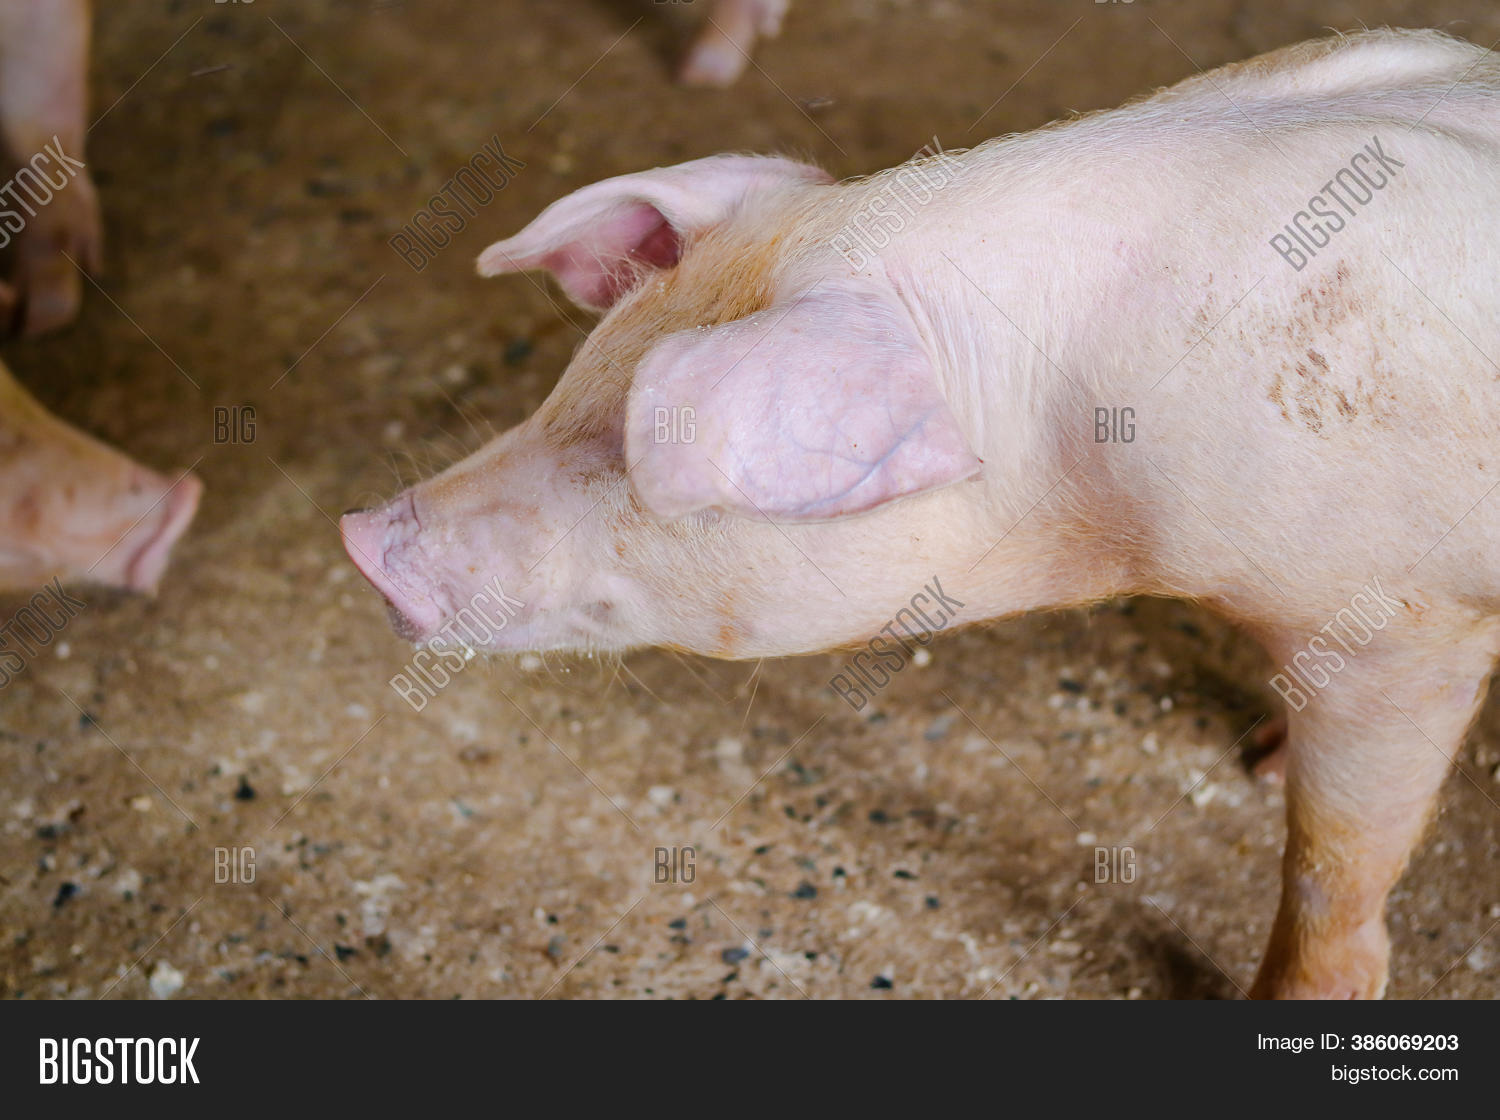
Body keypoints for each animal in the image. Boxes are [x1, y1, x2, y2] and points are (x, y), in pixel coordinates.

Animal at [344, 28, 1500, 998]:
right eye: (567, 385)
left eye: (632, 454)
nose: (358, 540)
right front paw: (1262, 758)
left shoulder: (1403, 624)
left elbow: (1335, 858)